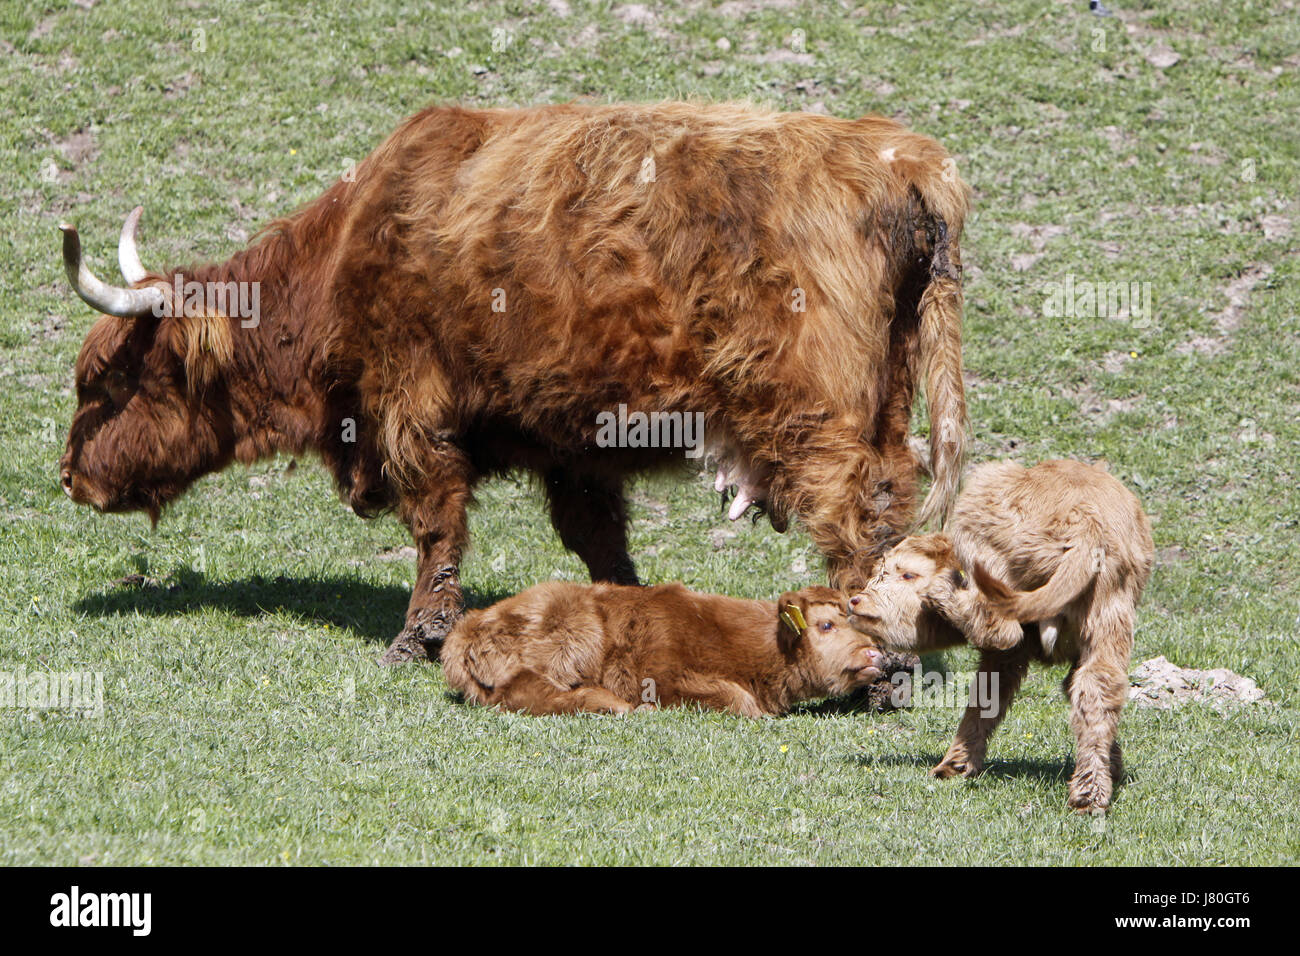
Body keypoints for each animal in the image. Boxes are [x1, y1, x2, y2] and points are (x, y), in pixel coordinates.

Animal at [57, 101, 970, 664]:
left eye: (104, 383)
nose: (69, 476)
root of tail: (901, 159)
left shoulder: (412, 410)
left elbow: (436, 525)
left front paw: (418, 636)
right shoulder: (571, 445)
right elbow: (597, 538)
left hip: (815, 419)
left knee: (855, 515)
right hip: (885, 400)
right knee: (891, 494)